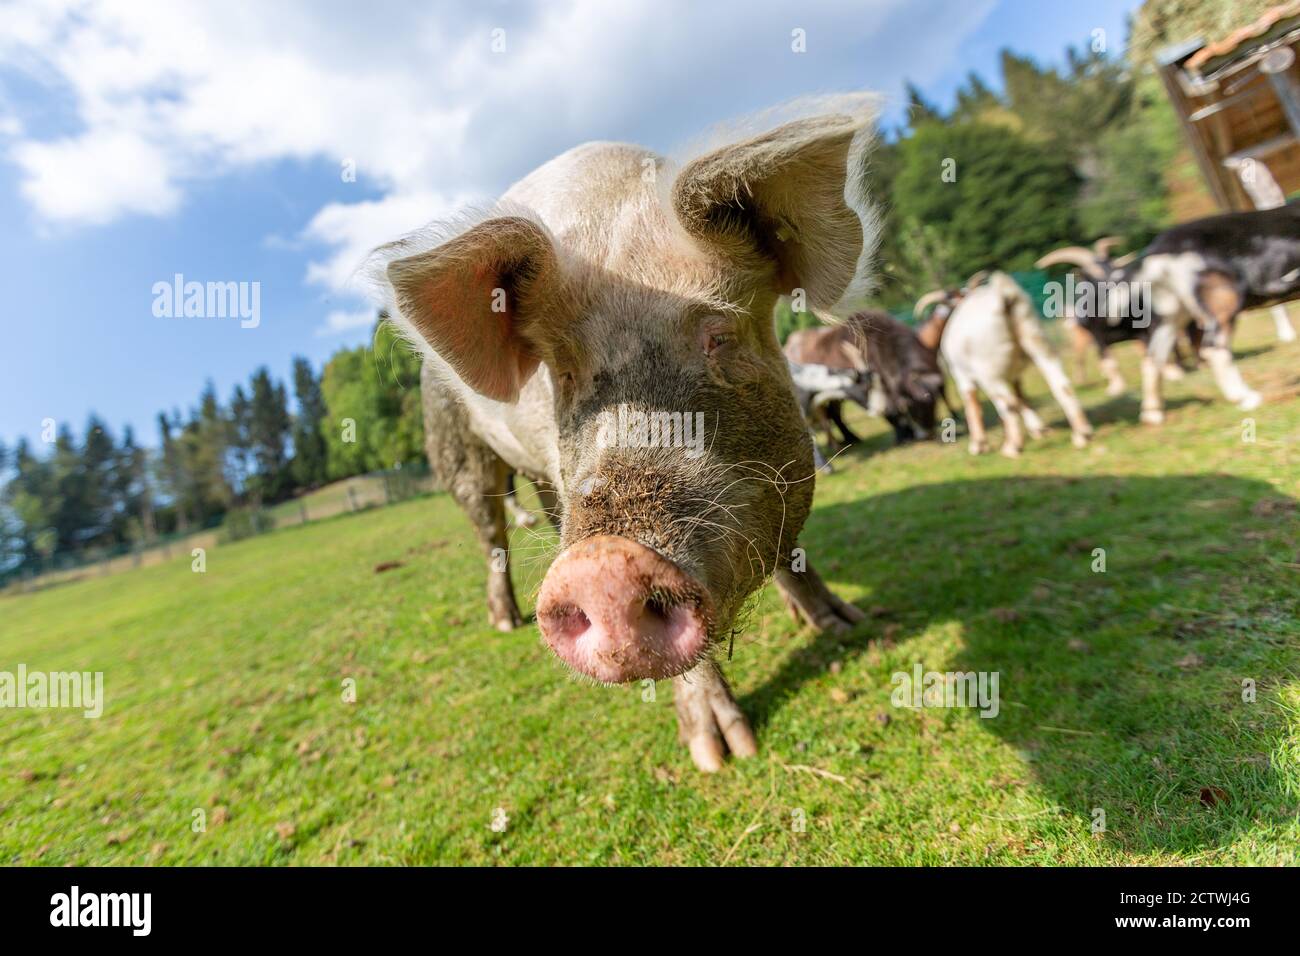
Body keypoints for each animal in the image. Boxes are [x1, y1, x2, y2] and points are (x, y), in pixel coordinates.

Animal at [365, 96, 875, 771]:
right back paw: (505, 621)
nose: (603, 562)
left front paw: (848, 626)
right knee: (490, 530)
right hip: (457, 454)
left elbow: (792, 549)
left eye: (718, 336)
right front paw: (720, 754)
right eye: (564, 373)